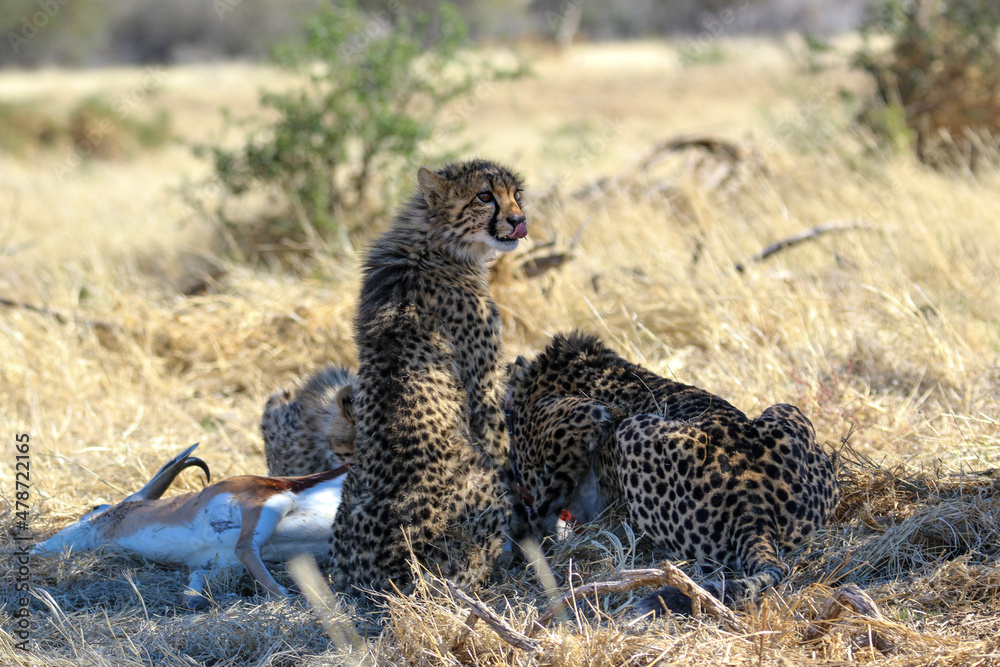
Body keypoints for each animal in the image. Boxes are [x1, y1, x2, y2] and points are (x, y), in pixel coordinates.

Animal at [327, 159, 531, 594]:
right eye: (484, 196)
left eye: (516, 194)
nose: (519, 219)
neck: (435, 243)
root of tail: (367, 583)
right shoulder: (483, 390)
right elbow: (503, 449)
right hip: (477, 482)